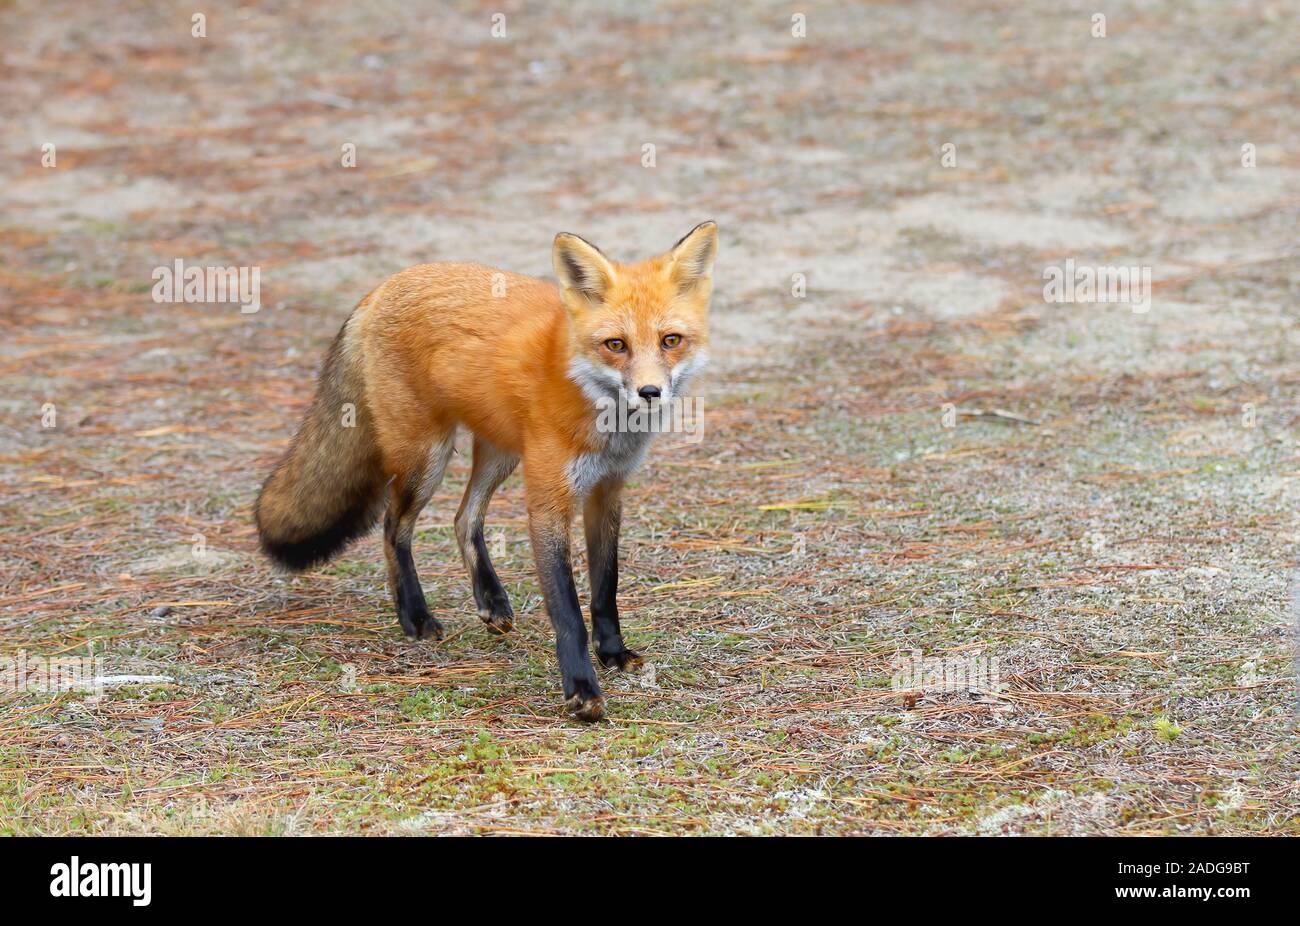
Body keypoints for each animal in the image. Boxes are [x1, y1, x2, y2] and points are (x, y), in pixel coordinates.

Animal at [254, 222, 717, 721]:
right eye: (616, 345)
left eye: (671, 340)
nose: (650, 392)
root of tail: (382, 287)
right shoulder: (549, 501)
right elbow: (568, 611)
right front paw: (581, 689)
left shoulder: (607, 490)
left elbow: (604, 588)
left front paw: (611, 652)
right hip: (427, 458)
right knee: (394, 526)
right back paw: (415, 617)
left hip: (499, 453)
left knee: (464, 518)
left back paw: (490, 600)